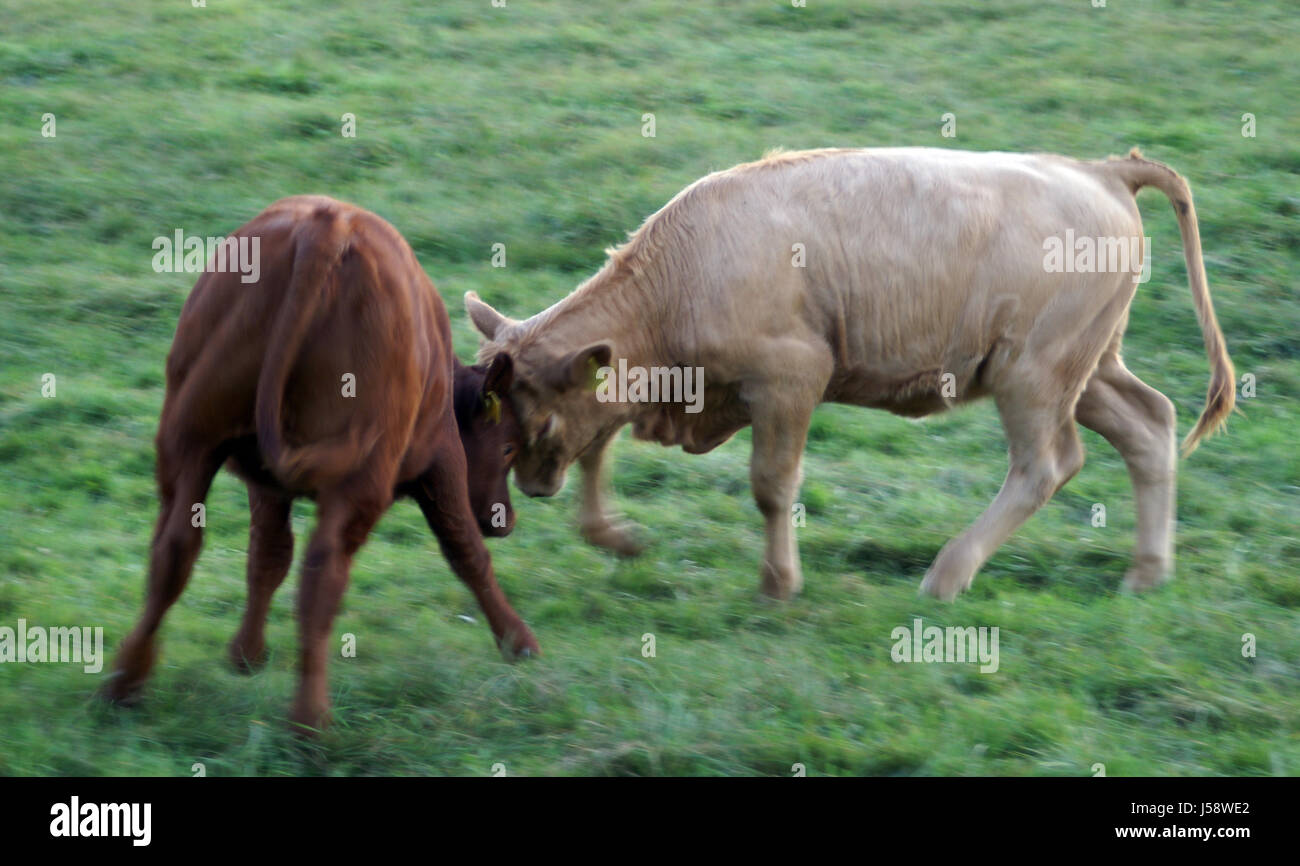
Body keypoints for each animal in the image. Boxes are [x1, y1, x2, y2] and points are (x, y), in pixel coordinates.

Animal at [105, 195, 538, 734]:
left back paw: (125, 681)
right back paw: (310, 723)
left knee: (174, 549)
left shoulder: (266, 482)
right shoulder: (443, 460)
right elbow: (467, 552)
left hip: (189, 438)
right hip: (360, 475)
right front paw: (519, 642)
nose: (506, 519)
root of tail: (326, 225)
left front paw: (246, 653)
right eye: (508, 447)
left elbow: (267, 556)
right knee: (322, 572)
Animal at [464, 147, 1234, 602]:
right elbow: (598, 448)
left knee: (1045, 465)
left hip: (1034, 374)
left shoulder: (789, 380)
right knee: (1149, 427)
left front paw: (779, 582)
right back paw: (1145, 574)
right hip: (1088, 369)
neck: (680, 274)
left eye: (536, 414)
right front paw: (616, 537)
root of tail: (1102, 170)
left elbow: (771, 486)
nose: (528, 487)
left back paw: (946, 575)